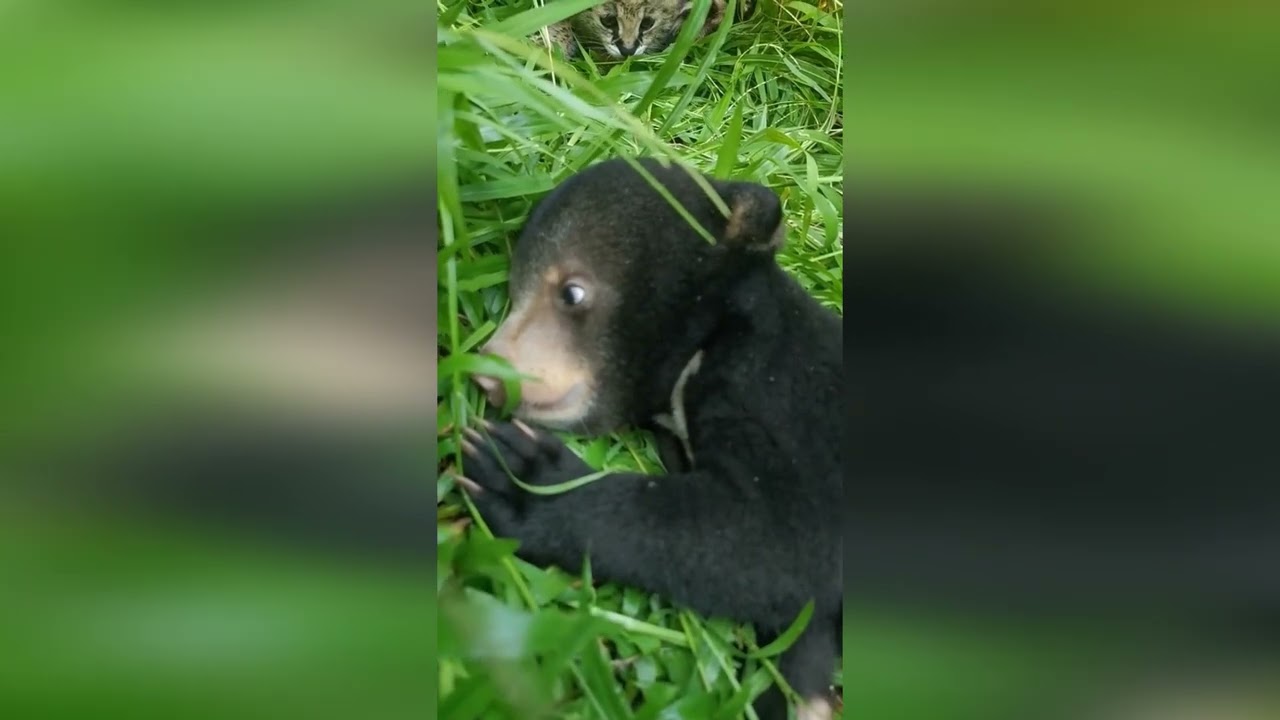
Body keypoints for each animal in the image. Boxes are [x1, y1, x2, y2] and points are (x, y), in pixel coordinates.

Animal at [458, 156, 843, 720]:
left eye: (571, 292)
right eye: (512, 289)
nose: (487, 375)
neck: (709, 339)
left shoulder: (783, 396)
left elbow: (776, 537)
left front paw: (520, 476)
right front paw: (797, 691)